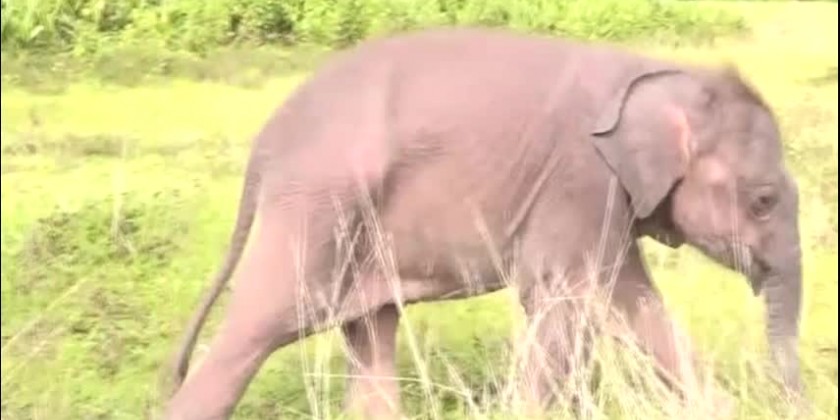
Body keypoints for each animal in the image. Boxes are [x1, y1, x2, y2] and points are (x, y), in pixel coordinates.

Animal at [162, 27, 805, 419]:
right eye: (763, 200)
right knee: (263, 326)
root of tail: (265, 145)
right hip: (318, 207)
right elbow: (561, 303)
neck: (659, 72)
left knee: (370, 333)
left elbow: (634, 303)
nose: (790, 398)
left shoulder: (607, 202)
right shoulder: (578, 180)